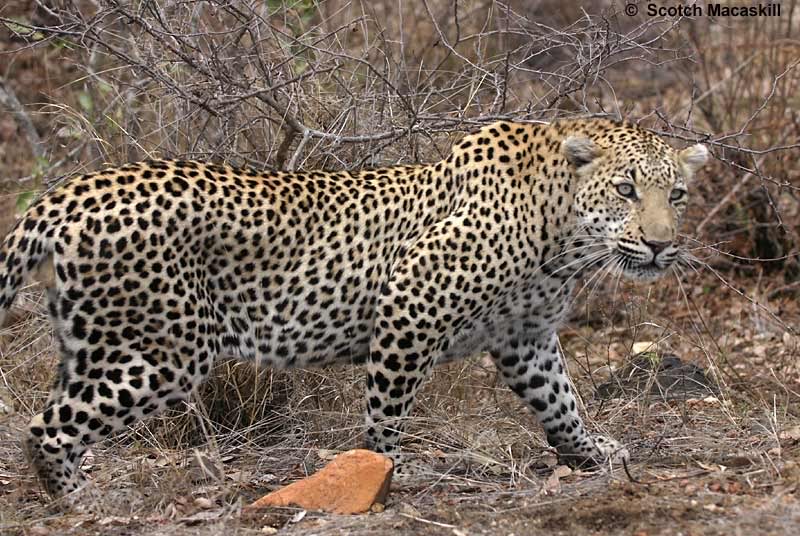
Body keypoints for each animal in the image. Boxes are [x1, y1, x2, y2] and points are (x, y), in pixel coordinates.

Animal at [0, 118, 708, 498]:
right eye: (625, 190)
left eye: (676, 194)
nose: (660, 244)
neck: (562, 230)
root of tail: (65, 193)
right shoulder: (411, 305)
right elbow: (386, 414)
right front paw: (387, 472)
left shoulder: (526, 338)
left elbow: (561, 401)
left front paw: (592, 453)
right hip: (163, 352)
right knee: (47, 426)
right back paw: (79, 504)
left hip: (93, 344)